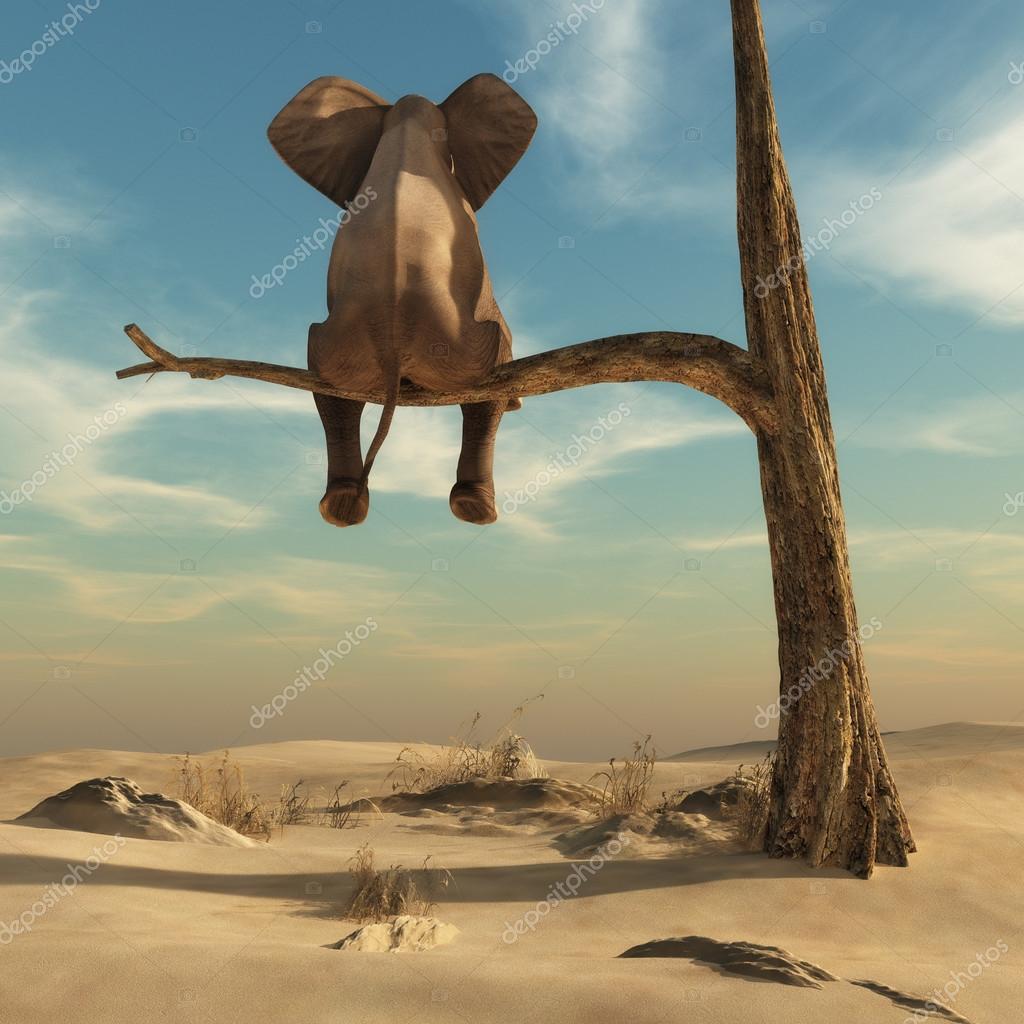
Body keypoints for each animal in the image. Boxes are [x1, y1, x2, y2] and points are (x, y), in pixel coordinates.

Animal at [267, 73, 538, 527]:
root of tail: (392, 336)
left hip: (340, 345)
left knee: (330, 389)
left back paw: (341, 507)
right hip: (461, 347)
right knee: (487, 381)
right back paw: (475, 509)